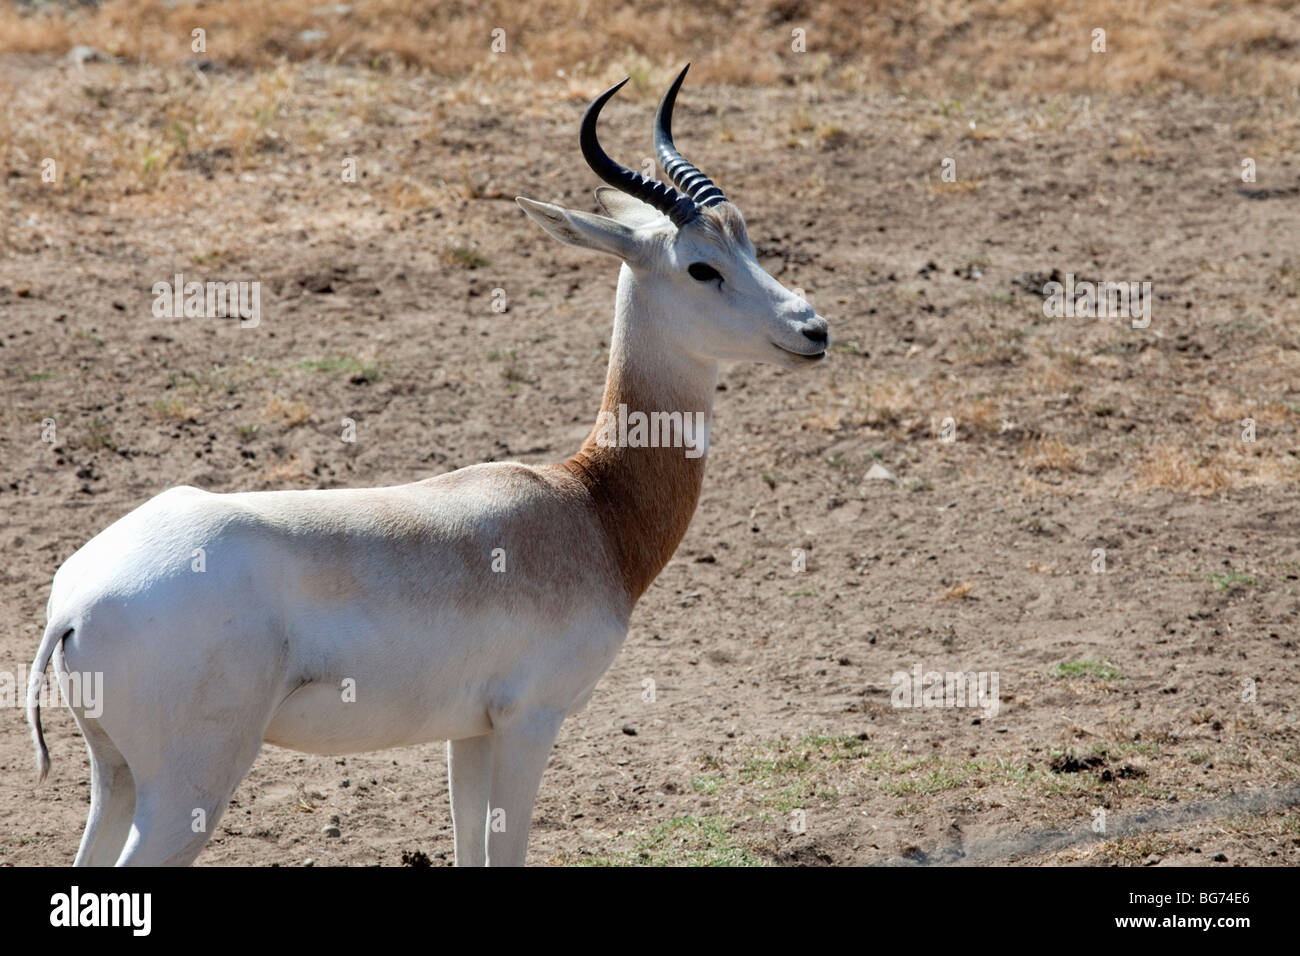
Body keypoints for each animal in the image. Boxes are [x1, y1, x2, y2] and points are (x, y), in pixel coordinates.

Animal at [27, 65, 829, 866]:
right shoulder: (529, 722)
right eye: (701, 267)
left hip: (117, 777)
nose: (813, 330)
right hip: (188, 788)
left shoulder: (468, 732)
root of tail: (76, 601)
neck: (588, 506)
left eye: (751, 244)